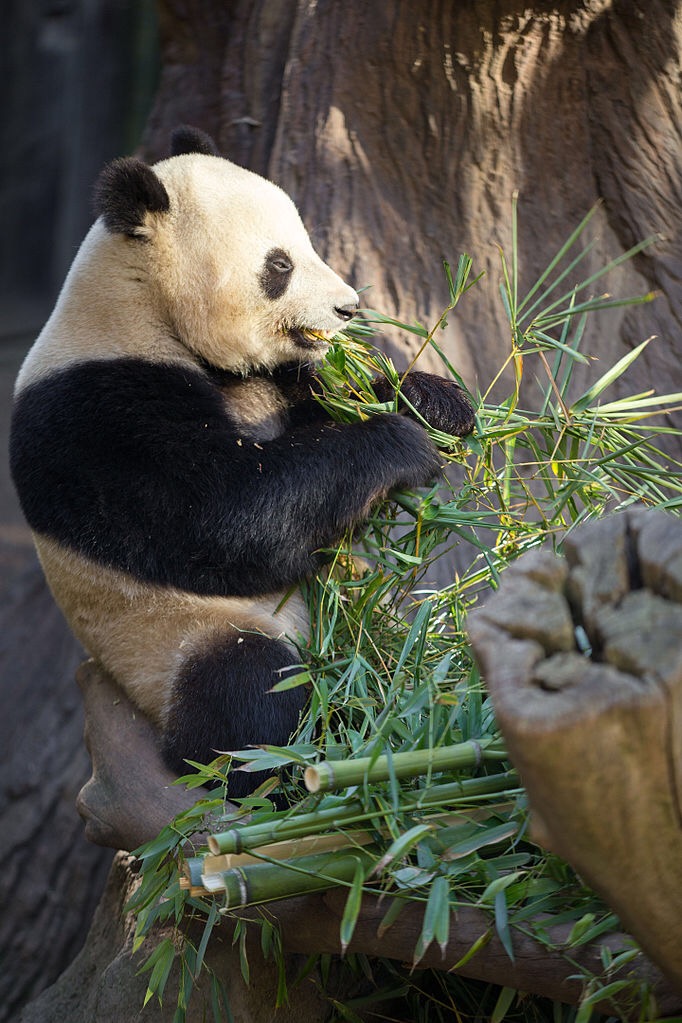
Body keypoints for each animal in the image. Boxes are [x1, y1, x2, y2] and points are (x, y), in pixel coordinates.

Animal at [10, 126, 475, 799]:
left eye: (310, 244)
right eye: (279, 265)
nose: (349, 308)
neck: (141, 306)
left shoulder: (272, 380)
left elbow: (320, 419)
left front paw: (437, 404)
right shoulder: (94, 411)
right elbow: (223, 518)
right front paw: (399, 442)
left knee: (386, 647)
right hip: (172, 641)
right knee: (250, 696)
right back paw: (310, 760)